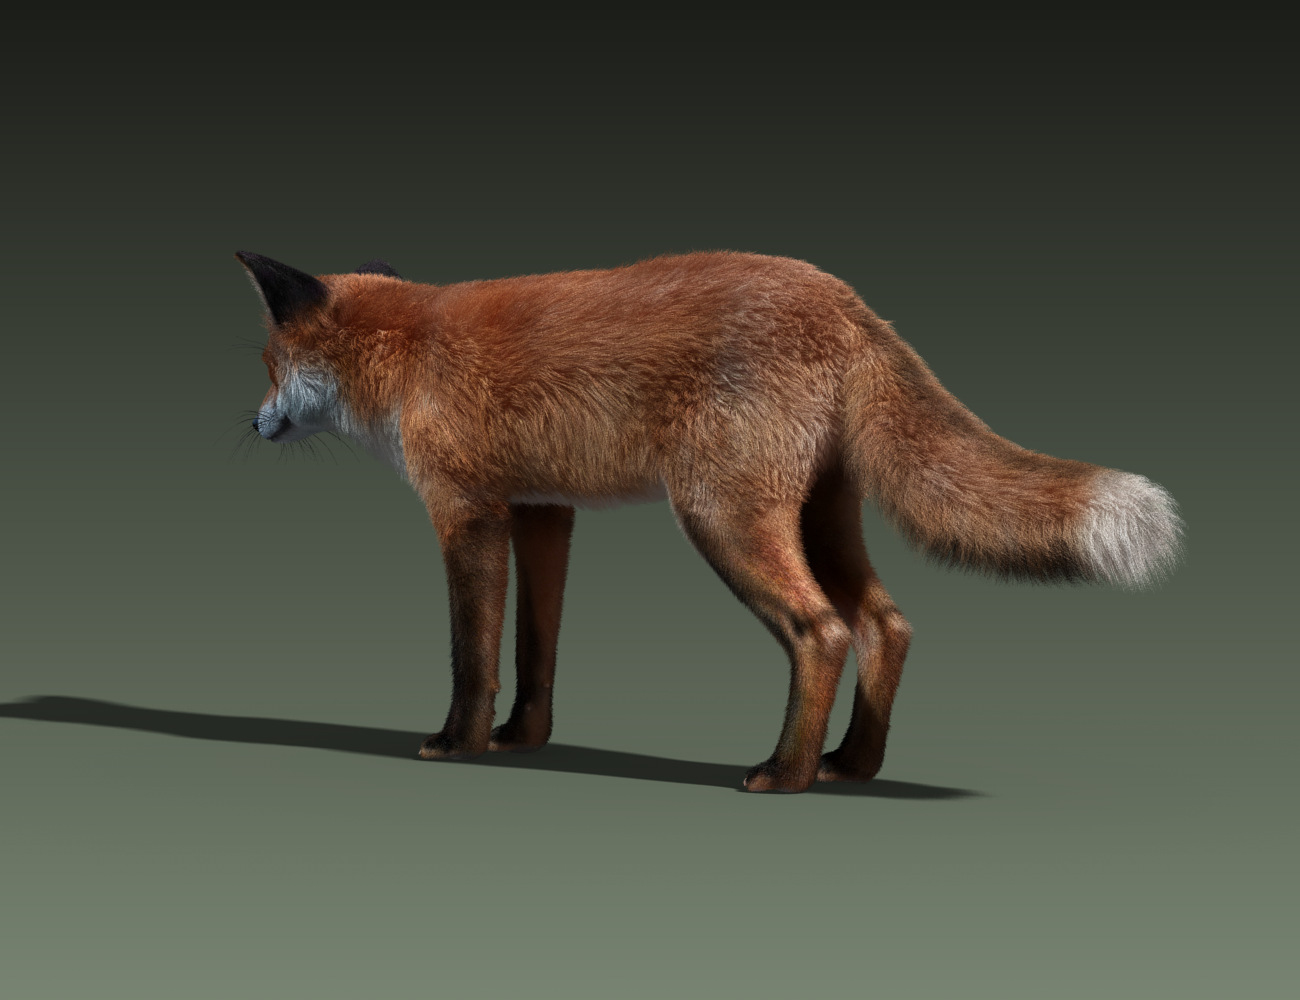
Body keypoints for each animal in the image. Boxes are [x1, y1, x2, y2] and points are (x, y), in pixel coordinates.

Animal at [236, 249, 1182, 793]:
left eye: (272, 366)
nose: (249, 425)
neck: (408, 355)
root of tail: (848, 302)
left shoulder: (465, 511)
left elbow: (474, 654)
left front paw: (457, 742)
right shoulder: (543, 512)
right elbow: (537, 651)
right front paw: (524, 741)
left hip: (724, 519)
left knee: (823, 630)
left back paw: (785, 774)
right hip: (819, 518)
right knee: (888, 624)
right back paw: (853, 764)